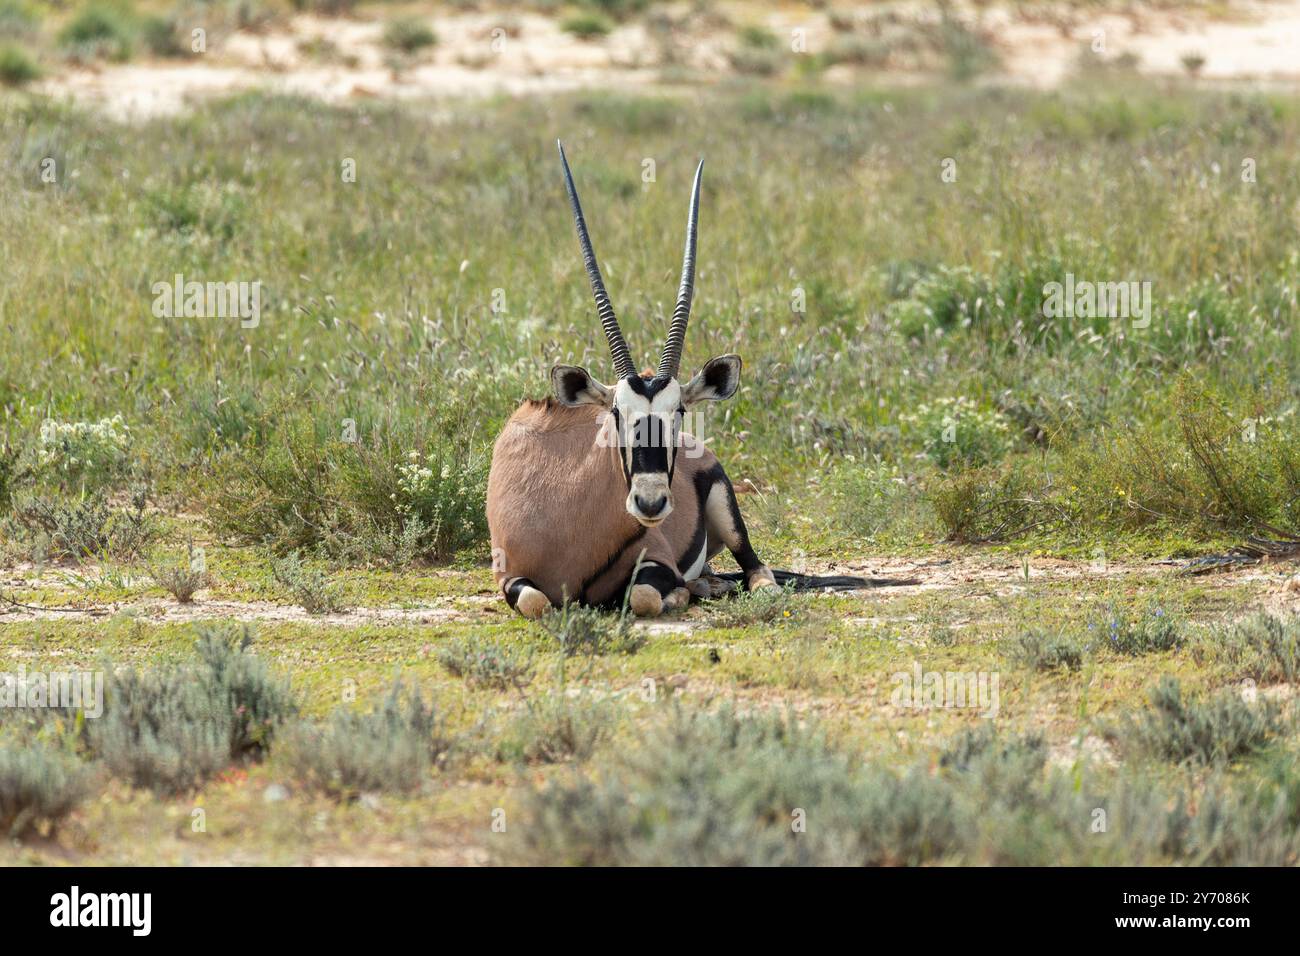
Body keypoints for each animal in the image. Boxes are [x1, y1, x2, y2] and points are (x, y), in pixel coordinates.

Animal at [487, 143, 885, 619]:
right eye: (616, 412)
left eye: (678, 411)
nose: (651, 502)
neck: (567, 504)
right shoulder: (508, 574)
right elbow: (537, 602)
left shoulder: (656, 557)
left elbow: (641, 596)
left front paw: (674, 593)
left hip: (726, 510)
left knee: (756, 570)